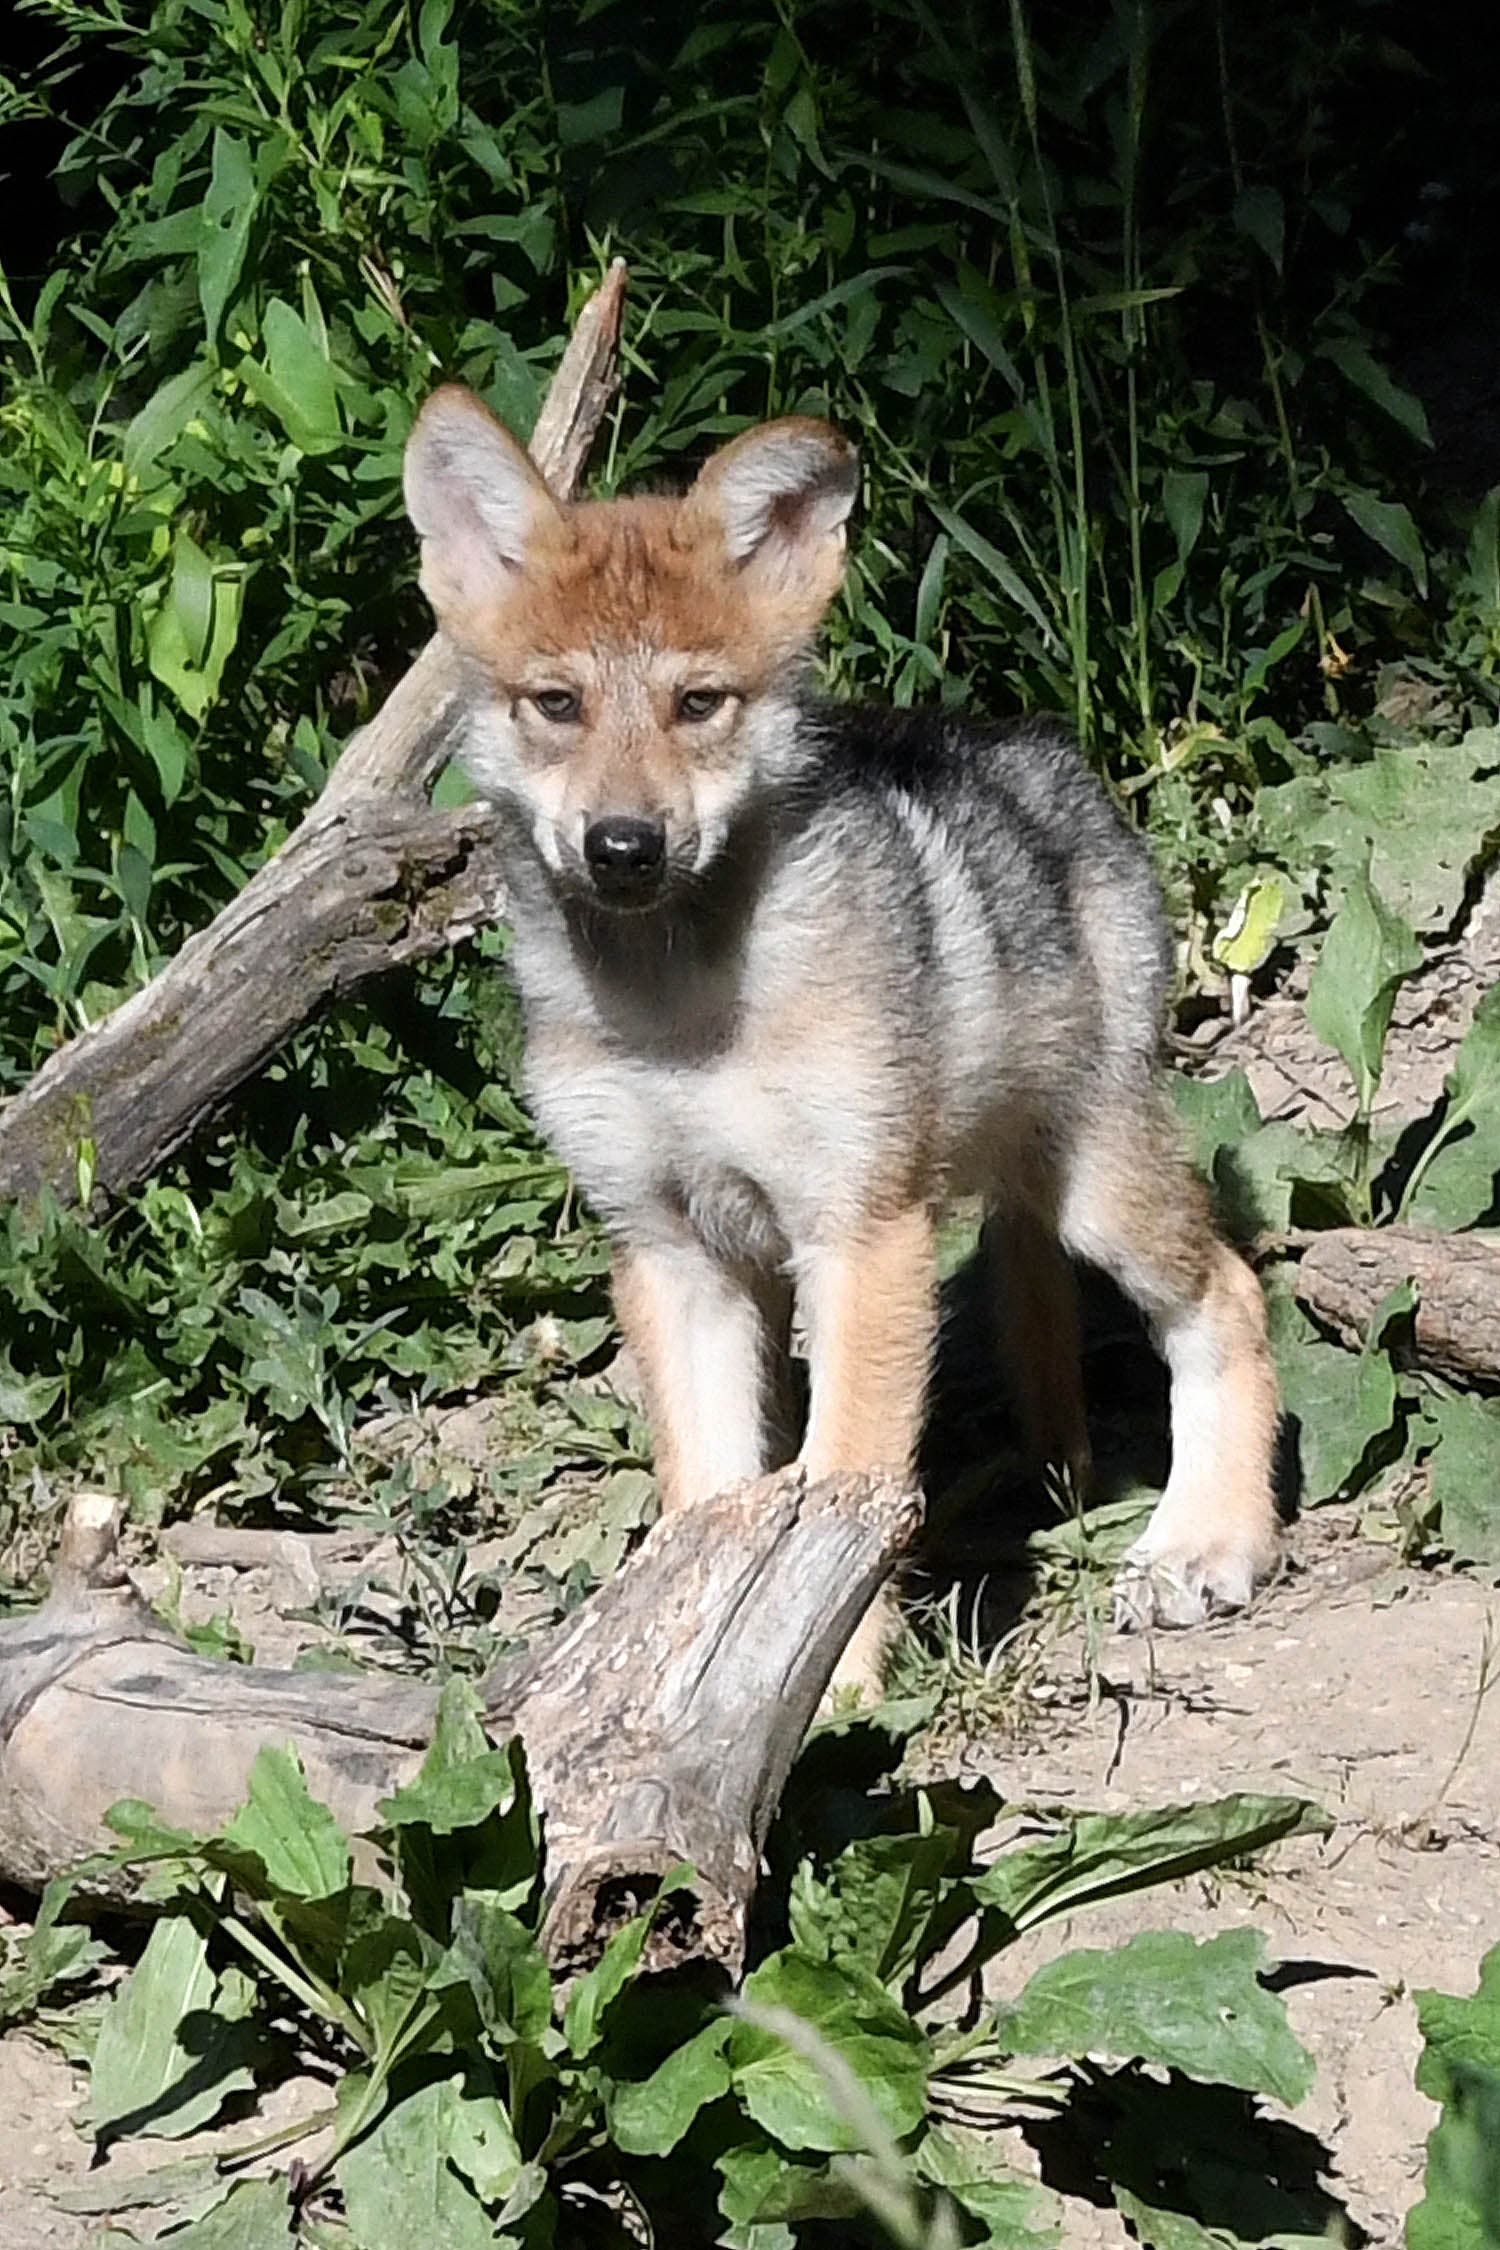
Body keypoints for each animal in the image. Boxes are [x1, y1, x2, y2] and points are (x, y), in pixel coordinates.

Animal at [402, 387, 1281, 1693]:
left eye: (699, 704)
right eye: (556, 705)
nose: (624, 847)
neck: (682, 1021)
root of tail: (1044, 749)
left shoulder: (861, 1235)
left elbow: (840, 1490)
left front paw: (836, 1691)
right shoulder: (670, 1252)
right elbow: (714, 1497)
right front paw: (681, 1674)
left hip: (1100, 1194)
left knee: (1230, 1294)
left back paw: (1207, 1542)